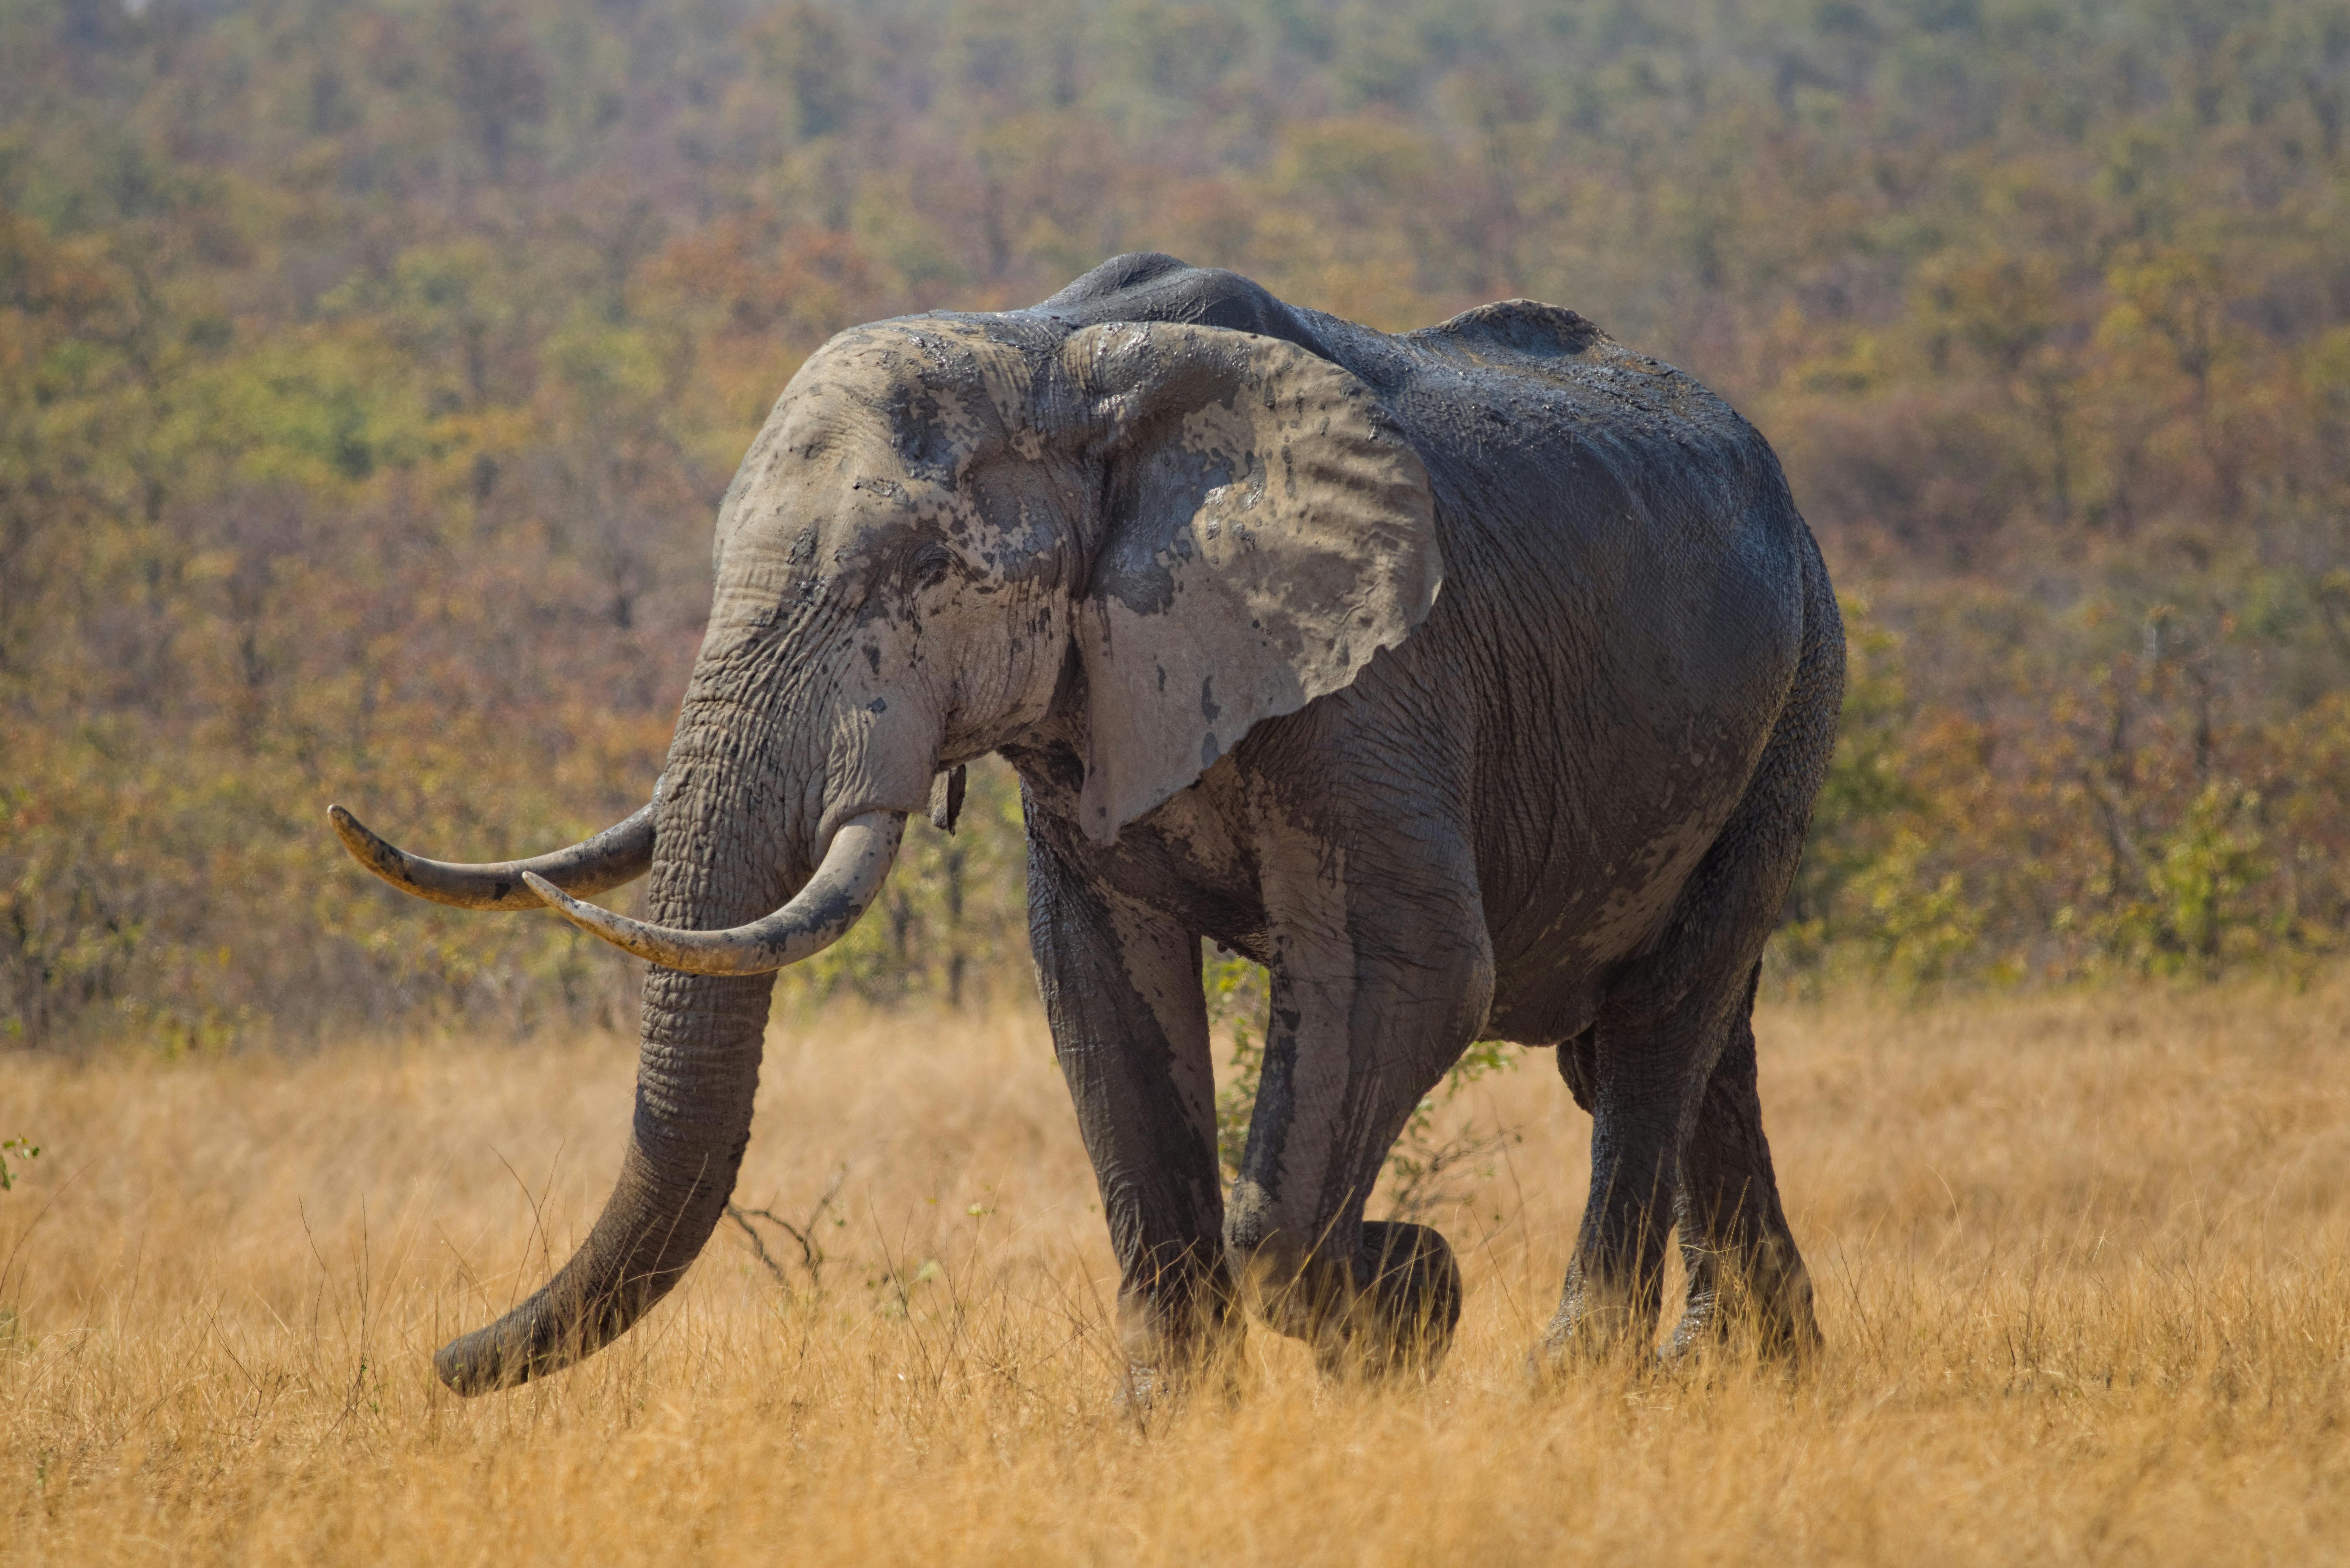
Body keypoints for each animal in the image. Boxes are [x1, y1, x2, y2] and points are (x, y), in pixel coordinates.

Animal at [330, 252, 1843, 1395]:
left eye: (901, 571)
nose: (434, 1365)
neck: (1048, 348)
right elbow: (1100, 995)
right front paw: (1179, 1425)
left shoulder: (1375, 674)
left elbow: (1409, 969)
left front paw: (1411, 1300)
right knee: (1681, 1048)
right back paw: (1746, 1378)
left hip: (1799, 695)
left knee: (1650, 1036)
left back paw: (1584, 1379)